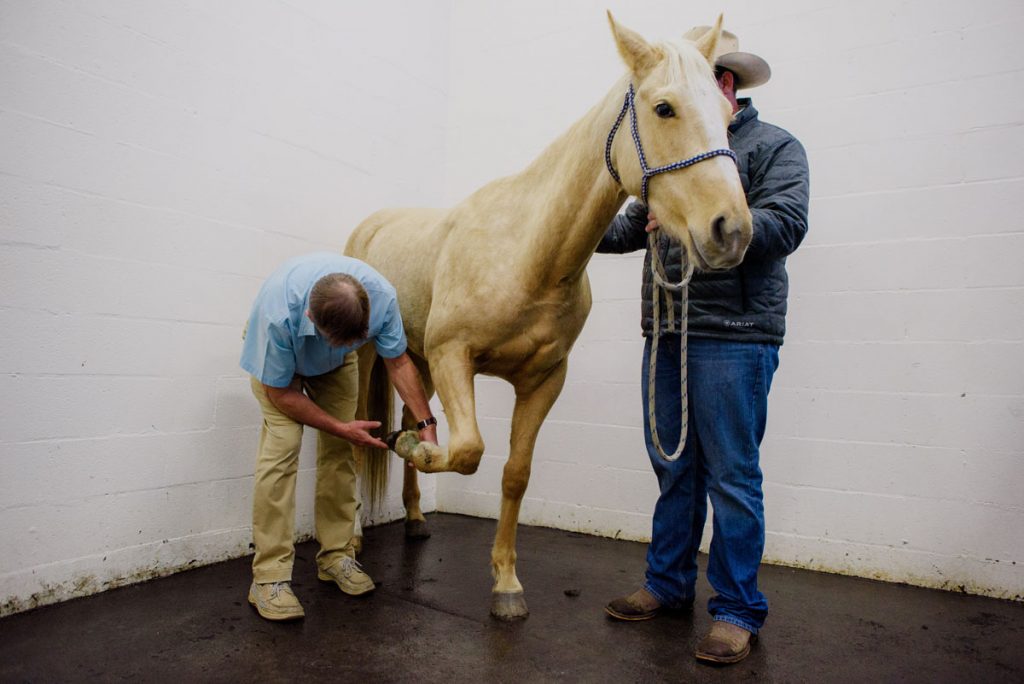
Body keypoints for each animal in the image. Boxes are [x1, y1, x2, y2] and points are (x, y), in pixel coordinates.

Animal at [345, 13, 752, 620]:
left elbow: (514, 473)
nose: (732, 231)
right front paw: (416, 448)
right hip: (375, 355)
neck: (528, 251)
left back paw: (415, 516)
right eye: (664, 108)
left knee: (412, 414)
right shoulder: (453, 355)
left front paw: (507, 585)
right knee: (353, 437)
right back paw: (349, 541)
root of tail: (369, 227)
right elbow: (467, 450)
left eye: (728, 117)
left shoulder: (542, 380)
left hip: (415, 359)